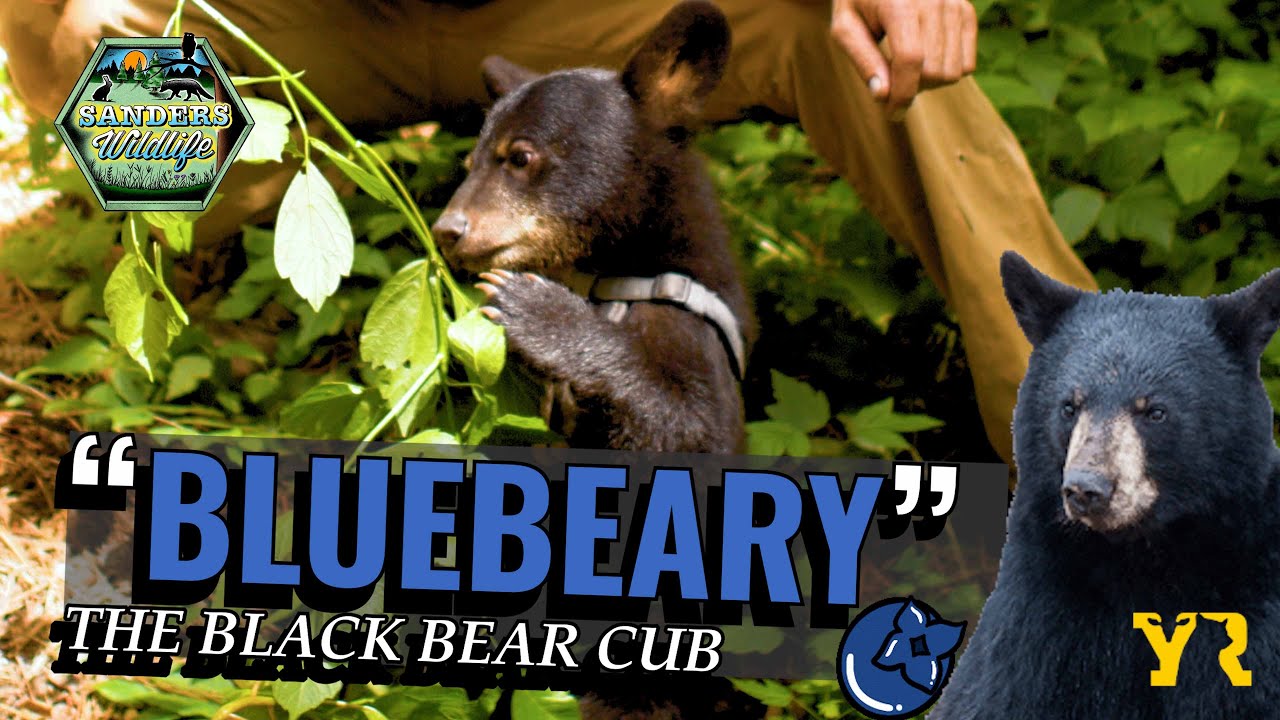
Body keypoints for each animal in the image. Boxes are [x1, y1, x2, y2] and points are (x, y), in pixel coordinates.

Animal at [430, 0, 754, 455]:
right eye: (469, 164)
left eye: (520, 156)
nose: (447, 230)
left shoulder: (695, 339)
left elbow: (687, 425)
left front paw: (537, 310)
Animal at [931, 251, 1280, 719]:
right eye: (1069, 406)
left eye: (1155, 412)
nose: (1086, 489)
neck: (1139, 559)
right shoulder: (1039, 617)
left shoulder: (1248, 607)